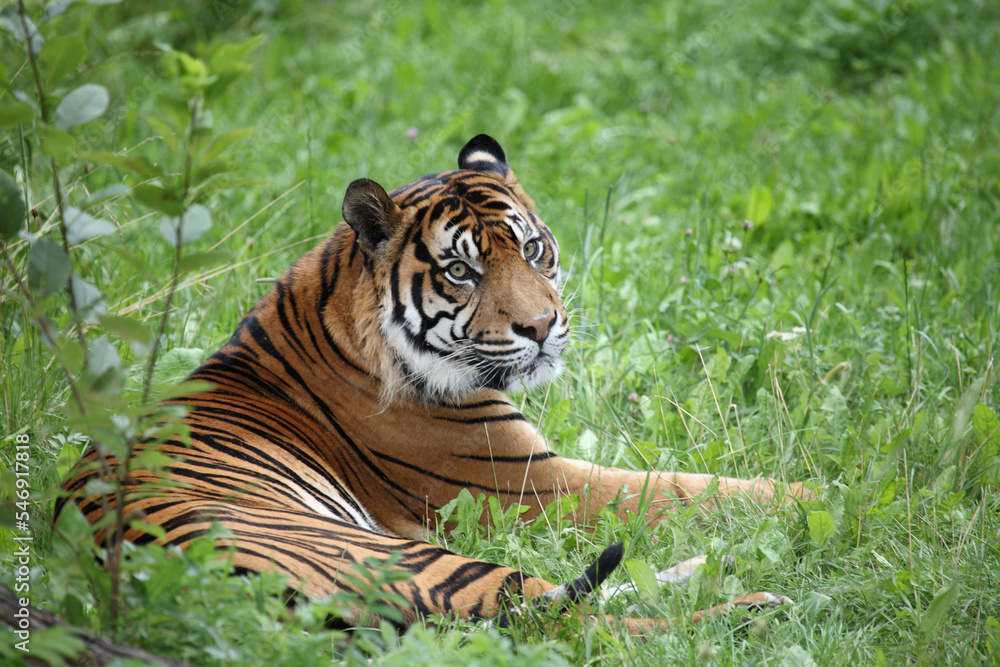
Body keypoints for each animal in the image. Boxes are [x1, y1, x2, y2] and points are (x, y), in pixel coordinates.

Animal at [59, 134, 811, 633]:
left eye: (532, 249)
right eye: (460, 272)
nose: (542, 326)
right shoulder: (533, 486)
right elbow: (689, 489)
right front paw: (817, 496)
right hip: (410, 558)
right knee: (574, 624)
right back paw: (757, 607)